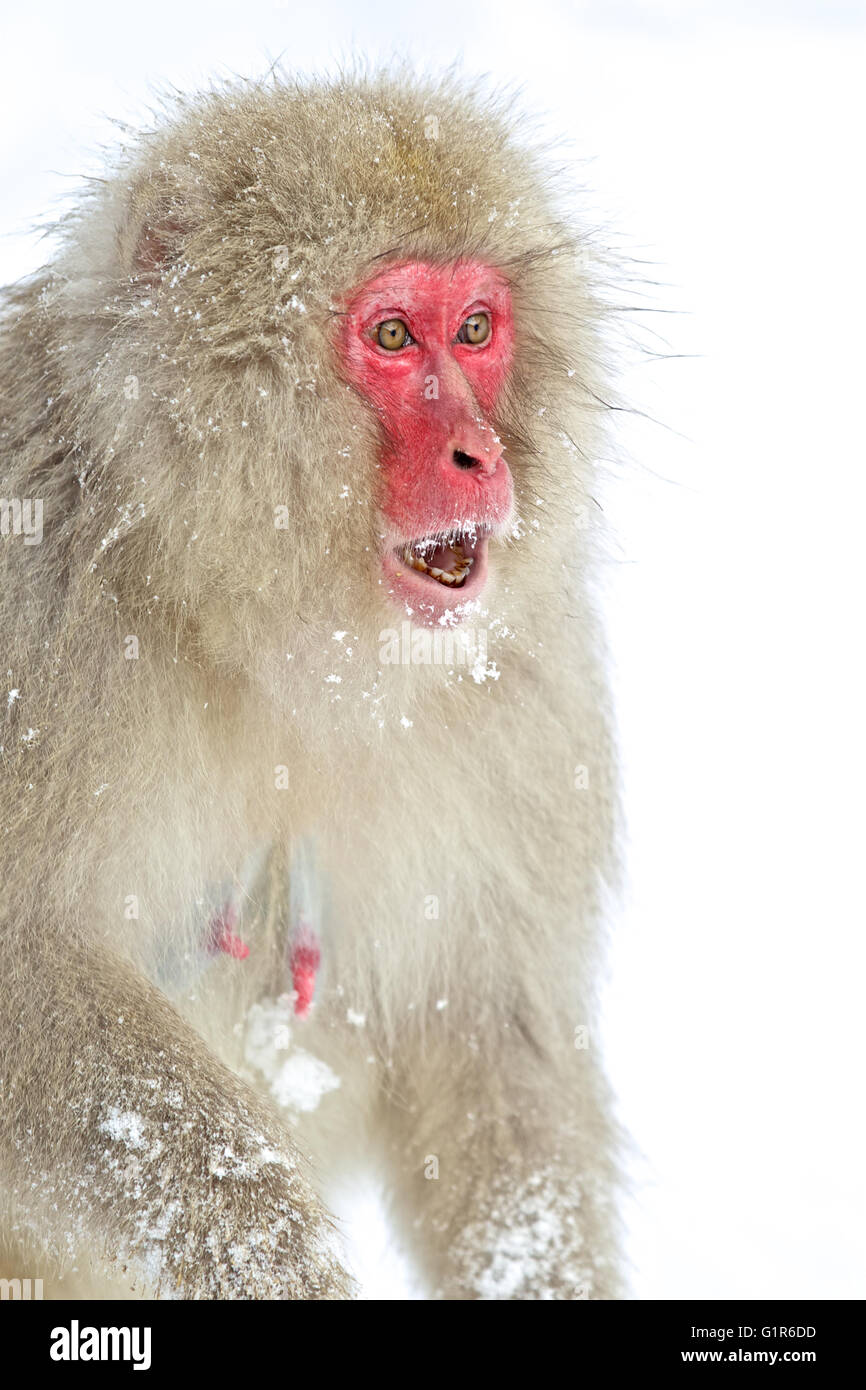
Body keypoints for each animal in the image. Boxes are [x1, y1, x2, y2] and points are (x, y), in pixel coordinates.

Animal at [0, 69, 622, 1300]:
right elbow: (24, 976)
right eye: (390, 334)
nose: (484, 455)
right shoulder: (32, 623)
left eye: (474, 330)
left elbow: (491, 1026)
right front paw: (266, 1262)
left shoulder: (526, 700)